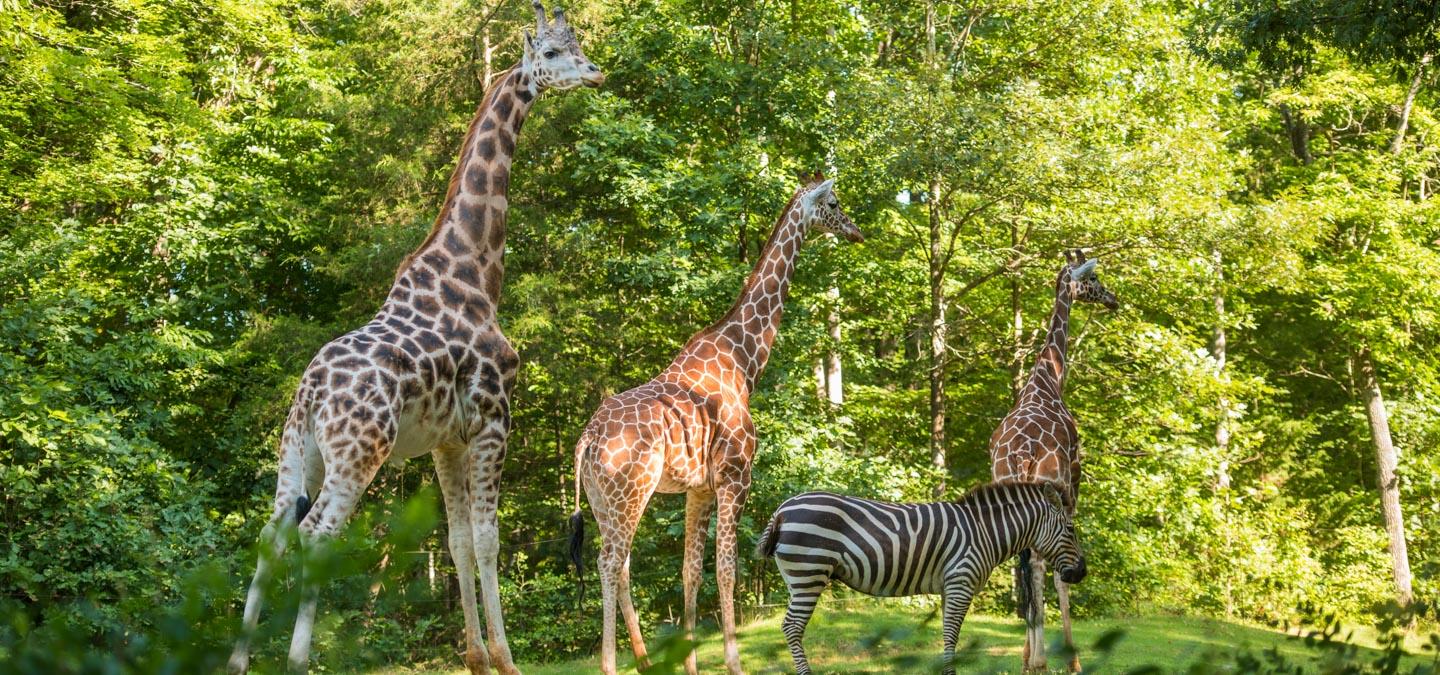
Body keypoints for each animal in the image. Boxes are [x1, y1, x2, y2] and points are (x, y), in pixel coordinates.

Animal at [227, 5, 602, 674]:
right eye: (554, 52)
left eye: (578, 44)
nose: (596, 73)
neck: (474, 273)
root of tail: (310, 391)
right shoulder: (494, 421)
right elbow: (488, 538)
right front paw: (505, 658)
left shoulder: (446, 440)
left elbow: (457, 541)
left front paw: (476, 657)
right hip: (359, 453)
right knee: (316, 536)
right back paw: (296, 660)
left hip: (298, 453)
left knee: (272, 534)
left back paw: (239, 661)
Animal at [567, 173, 864, 675]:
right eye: (834, 203)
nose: (856, 232)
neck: (744, 361)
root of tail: (587, 439)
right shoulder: (735, 476)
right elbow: (727, 569)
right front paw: (734, 663)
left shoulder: (699, 487)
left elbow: (689, 572)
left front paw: (691, 665)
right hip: (631, 490)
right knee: (610, 562)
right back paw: (611, 664)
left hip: (602, 498)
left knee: (620, 564)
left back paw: (644, 661)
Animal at [755, 481, 1087, 675]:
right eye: (1071, 530)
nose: (1082, 572)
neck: (984, 531)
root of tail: (782, 509)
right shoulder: (960, 582)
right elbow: (952, 636)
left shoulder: (949, 587)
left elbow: (946, 634)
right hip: (808, 574)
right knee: (792, 627)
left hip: (800, 578)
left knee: (791, 627)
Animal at [989, 248, 1117, 674]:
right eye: (1093, 280)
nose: (1113, 298)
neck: (1049, 379)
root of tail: (1020, 454)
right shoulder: (1072, 482)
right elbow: (1059, 568)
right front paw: (1071, 659)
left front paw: (1027, 656)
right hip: (1051, 488)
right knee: (1041, 563)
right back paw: (1048, 659)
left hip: (1006, 488)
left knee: (1022, 561)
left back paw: (1032, 658)